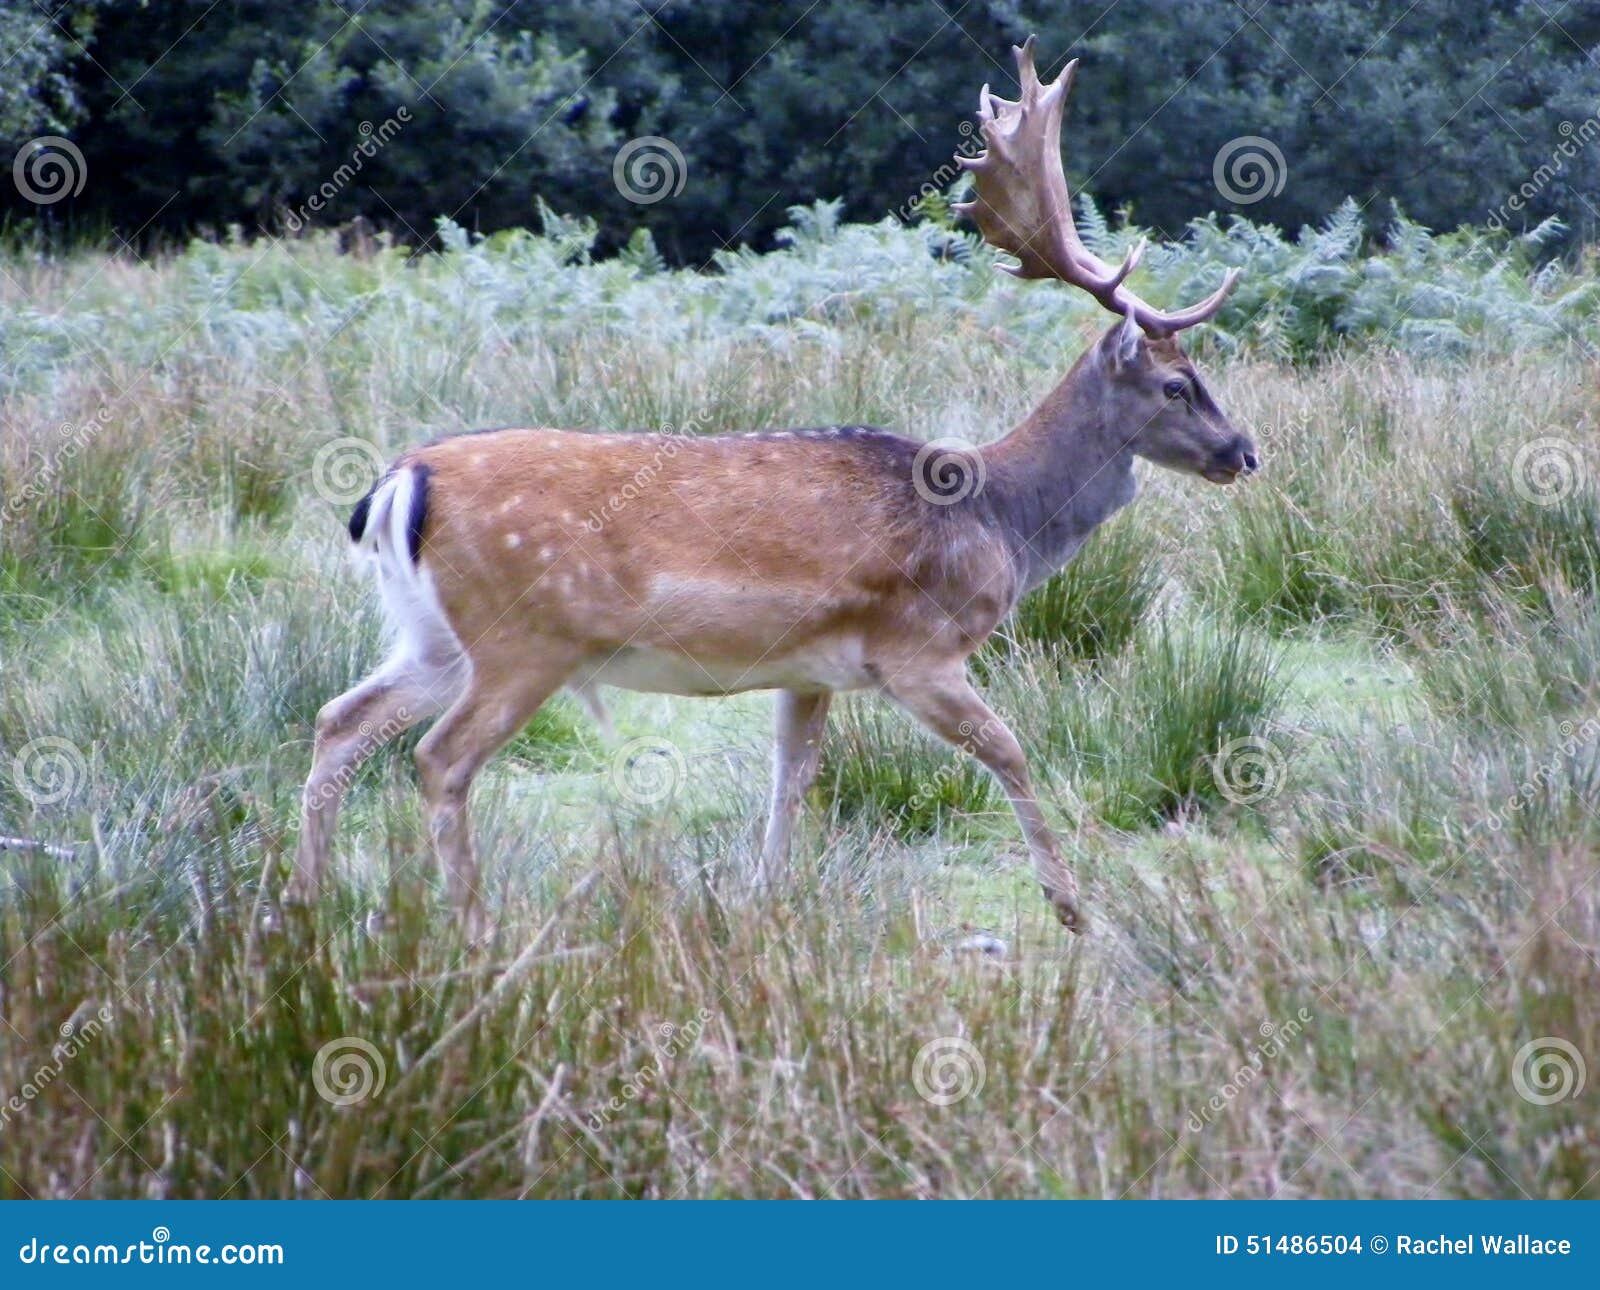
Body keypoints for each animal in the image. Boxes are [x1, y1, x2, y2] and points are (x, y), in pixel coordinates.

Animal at [293, 37, 1256, 934]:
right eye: (1178, 385)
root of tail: (398, 484)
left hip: (434, 637)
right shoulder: (919, 649)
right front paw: (1070, 906)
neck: (998, 518)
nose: (1243, 452)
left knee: (339, 720)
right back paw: (471, 919)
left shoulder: (810, 670)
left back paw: (307, 901)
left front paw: (762, 903)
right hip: (522, 637)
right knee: (438, 758)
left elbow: (792, 781)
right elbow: (1010, 750)